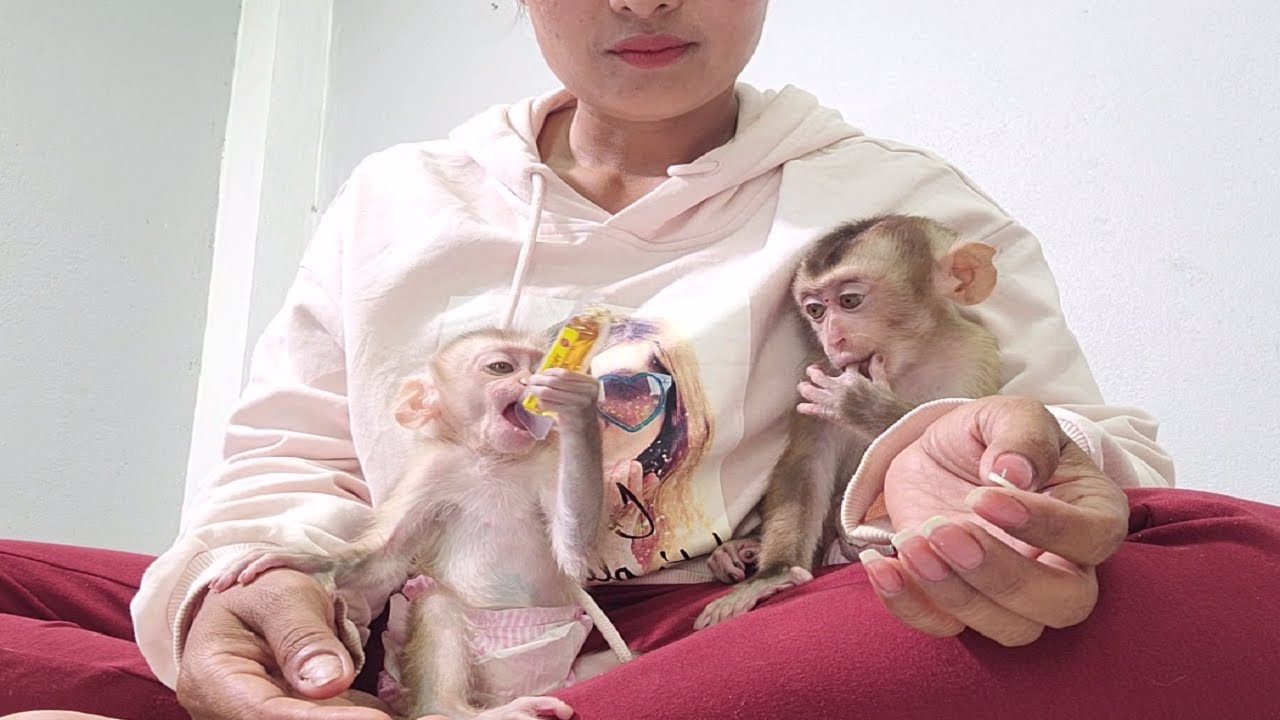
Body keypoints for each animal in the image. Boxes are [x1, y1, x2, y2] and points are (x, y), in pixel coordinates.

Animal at [208, 327, 628, 720]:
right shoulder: (431, 472)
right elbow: (385, 557)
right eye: (501, 368)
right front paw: (302, 561)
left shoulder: (545, 463)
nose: (530, 382)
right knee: (436, 606)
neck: (489, 459)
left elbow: (572, 549)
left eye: (536, 364)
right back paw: (457, 709)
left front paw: (578, 406)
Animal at [694, 214, 1003, 629]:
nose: (833, 338)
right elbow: (809, 464)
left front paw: (863, 405)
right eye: (815, 311)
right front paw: (773, 573)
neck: (908, 364)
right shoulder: (821, 370)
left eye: (849, 300)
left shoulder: (974, 358)